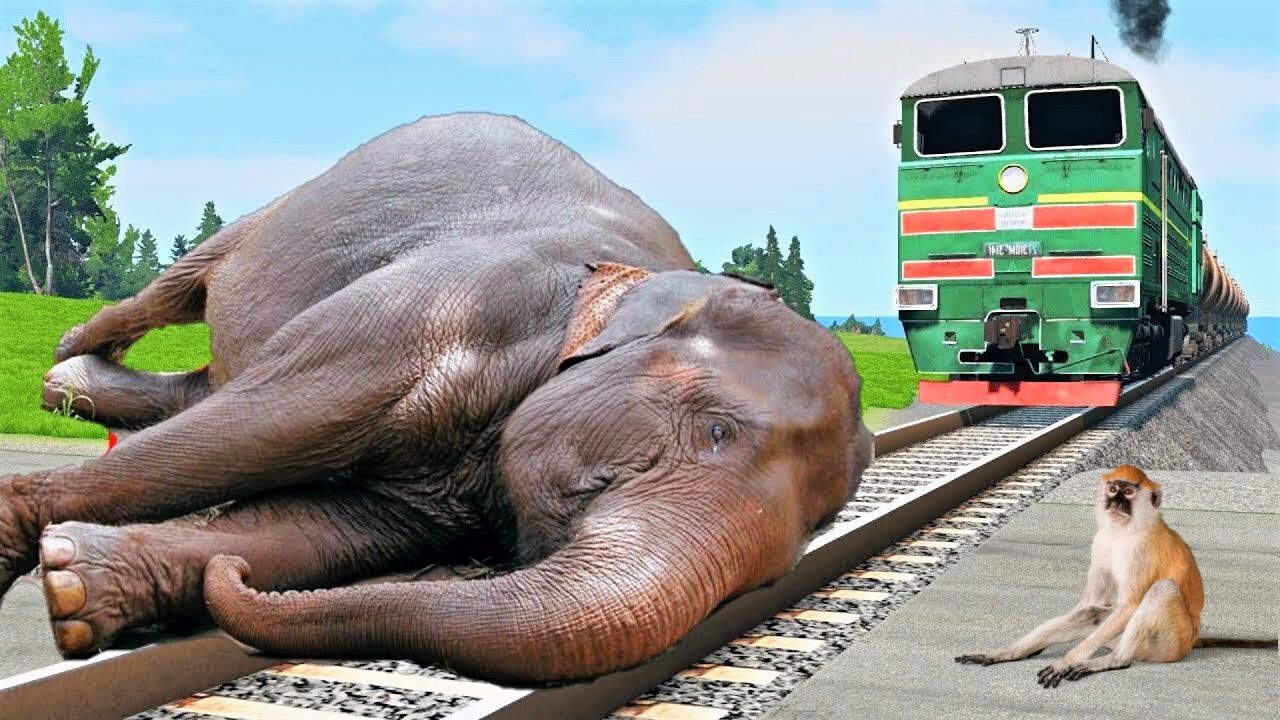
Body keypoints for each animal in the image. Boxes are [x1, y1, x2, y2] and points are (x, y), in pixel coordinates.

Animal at [0, 113, 872, 684]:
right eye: (717, 430)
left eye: (789, 561)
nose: (234, 574)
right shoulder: (447, 305)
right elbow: (265, 421)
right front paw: (22, 542)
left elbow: (327, 529)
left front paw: (77, 586)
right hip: (277, 212)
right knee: (179, 302)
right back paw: (66, 369)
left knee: (209, 382)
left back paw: (78, 392)